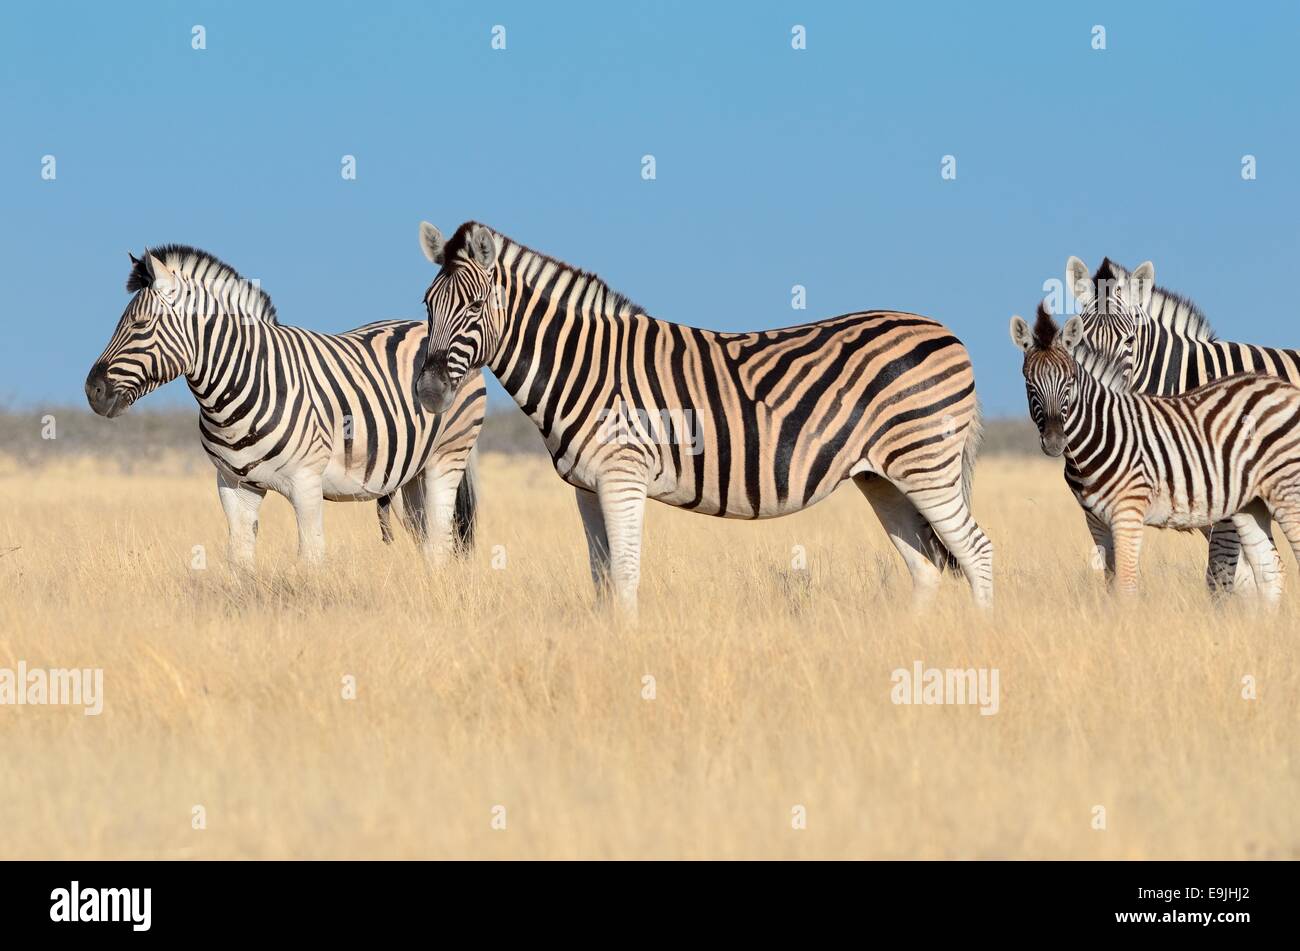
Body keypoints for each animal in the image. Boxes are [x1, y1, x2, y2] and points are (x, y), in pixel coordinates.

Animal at [85, 245, 486, 569]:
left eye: (140, 324)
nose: (92, 390)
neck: (239, 387)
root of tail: (428, 327)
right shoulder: (233, 484)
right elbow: (239, 557)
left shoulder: (306, 483)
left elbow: (311, 556)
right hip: (409, 473)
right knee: (425, 537)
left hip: (447, 457)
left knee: (440, 540)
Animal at [412, 220, 993, 613]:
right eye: (427, 305)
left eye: (474, 308)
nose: (429, 391)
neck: (585, 362)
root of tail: (949, 333)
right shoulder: (587, 488)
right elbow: (602, 579)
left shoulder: (623, 477)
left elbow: (626, 576)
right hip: (883, 478)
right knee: (927, 568)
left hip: (927, 465)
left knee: (976, 552)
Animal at [1011, 302, 1300, 600]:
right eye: (1029, 384)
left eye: (1070, 381)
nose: (1055, 441)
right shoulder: (1097, 521)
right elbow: (1112, 583)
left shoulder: (1129, 512)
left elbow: (1129, 585)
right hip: (1252, 503)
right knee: (1270, 568)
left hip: (1287, 491)